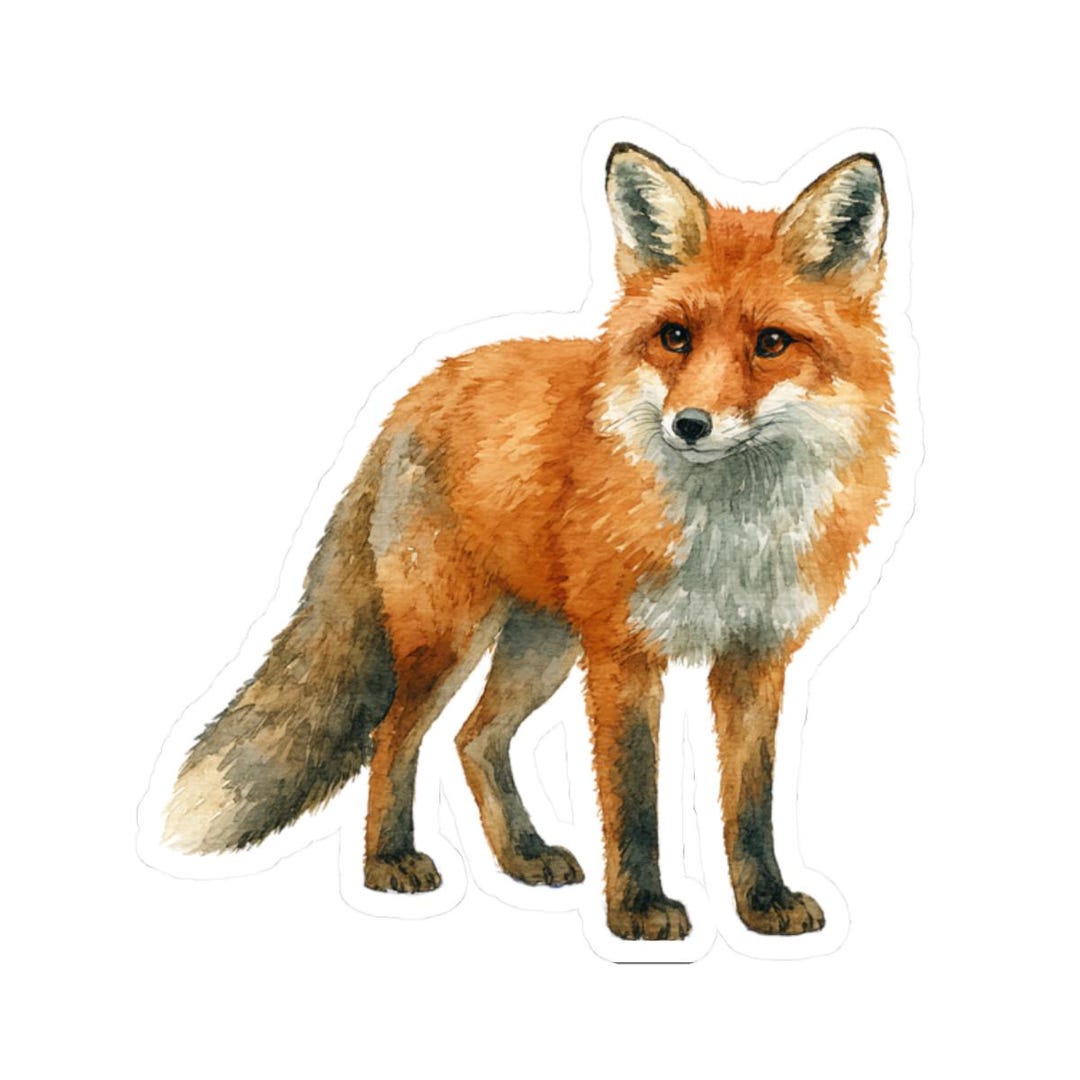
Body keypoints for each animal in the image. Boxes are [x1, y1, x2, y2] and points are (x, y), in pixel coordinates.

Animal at [165, 142, 893, 942]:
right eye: (675, 337)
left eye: (771, 344)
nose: (690, 424)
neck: (729, 534)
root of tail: (417, 394)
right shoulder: (622, 655)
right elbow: (633, 800)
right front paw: (639, 908)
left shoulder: (756, 656)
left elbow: (750, 801)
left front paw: (762, 901)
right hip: (451, 637)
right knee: (395, 737)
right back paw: (389, 860)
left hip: (541, 645)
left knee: (474, 739)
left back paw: (522, 854)